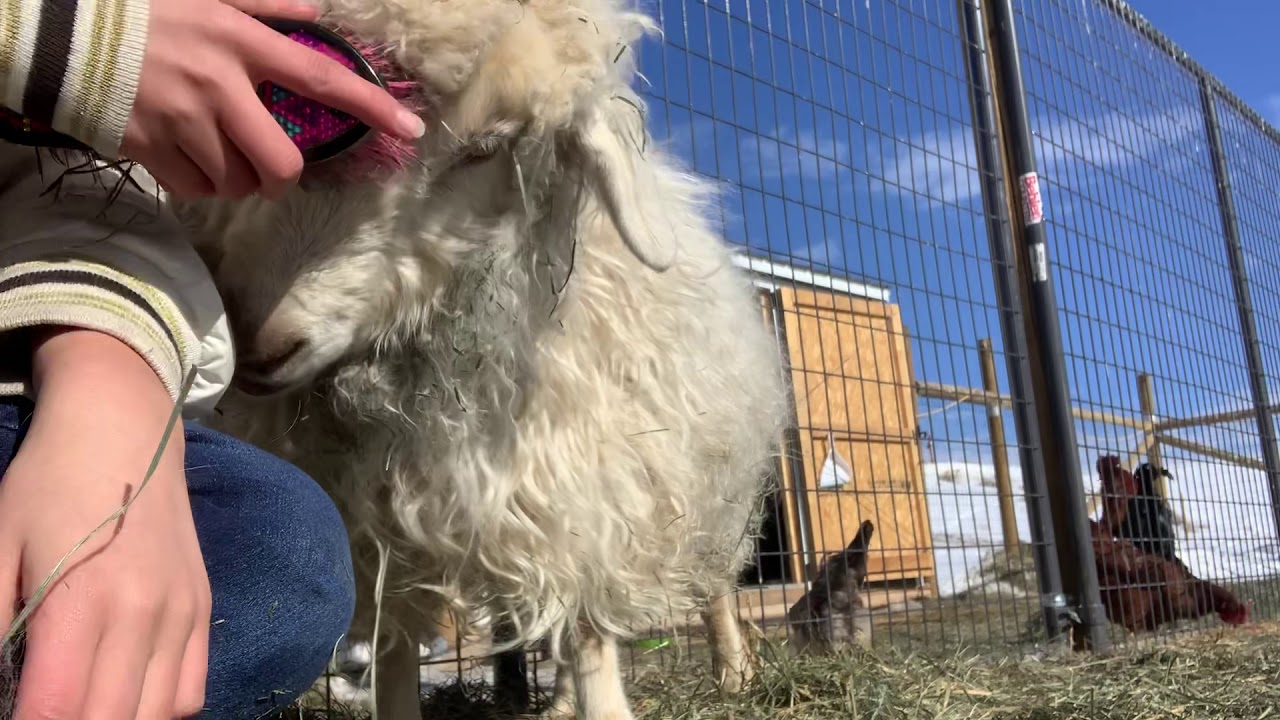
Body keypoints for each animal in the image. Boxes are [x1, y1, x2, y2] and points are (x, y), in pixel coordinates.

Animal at [178, 1, 792, 718]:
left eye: (485, 148)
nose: (262, 343)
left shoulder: (580, 482)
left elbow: (589, 633)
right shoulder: (373, 529)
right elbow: (393, 652)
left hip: (698, 472)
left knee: (707, 579)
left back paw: (733, 672)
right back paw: (559, 702)